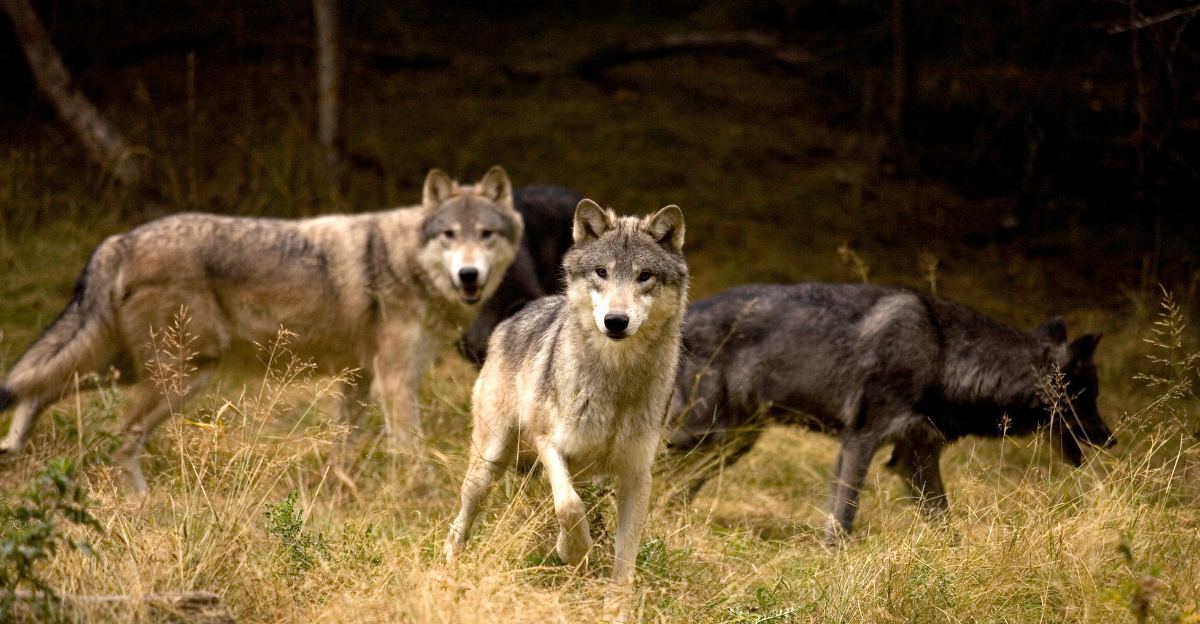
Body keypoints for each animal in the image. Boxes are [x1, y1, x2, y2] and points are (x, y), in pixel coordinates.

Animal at [0, 166, 524, 492]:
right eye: (450, 236)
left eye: (486, 235)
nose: (469, 275)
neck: (403, 261)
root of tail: (120, 239)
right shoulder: (395, 379)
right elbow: (411, 447)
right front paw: (418, 491)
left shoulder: (358, 377)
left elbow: (342, 447)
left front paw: (341, 492)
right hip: (180, 376)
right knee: (119, 436)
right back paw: (143, 502)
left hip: (127, 369)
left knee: (38, 388)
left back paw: (12, 448)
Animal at [666, 282, 1112, 541]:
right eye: (1087, 397)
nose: (1111, 438)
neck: (943, 355)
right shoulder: (861, 441)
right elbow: (843, 516)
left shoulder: (915, 456)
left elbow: (944, 521)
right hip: (700, 435)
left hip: (729, 445)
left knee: (676, 488)